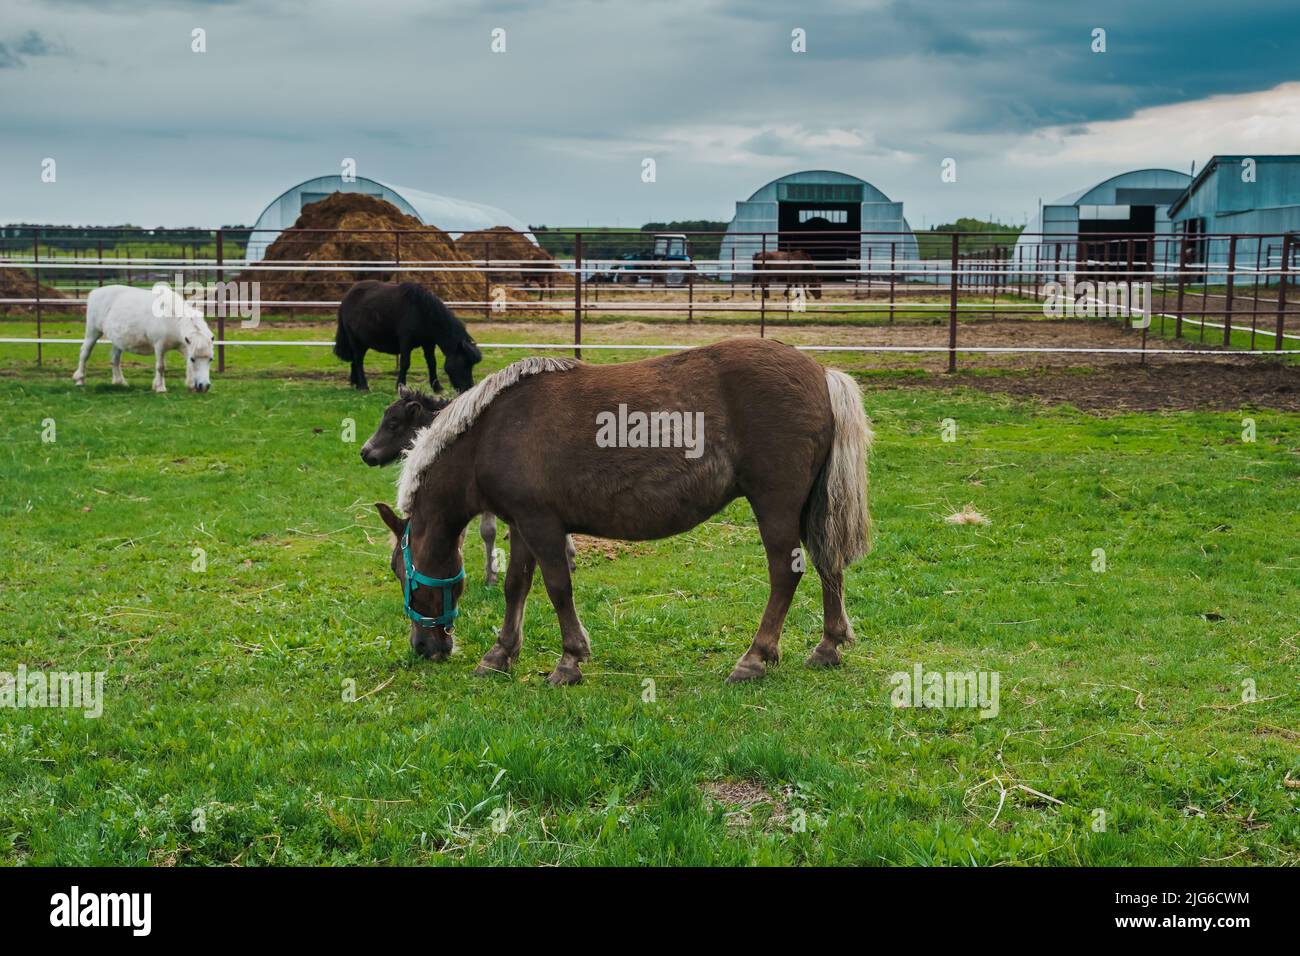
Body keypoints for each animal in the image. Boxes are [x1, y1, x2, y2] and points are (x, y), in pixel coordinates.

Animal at [73, 284, 215, 393]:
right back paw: (80, 380)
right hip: (93, 331)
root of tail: (95, 292)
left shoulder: (185, 346)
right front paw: (160, 388)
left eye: (210, 359)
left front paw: (190, 385)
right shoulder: (160, 346)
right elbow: (161, 366)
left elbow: (188, 367)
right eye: (193, 359)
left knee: (115, 359)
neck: (172, 319)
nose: (204, 386)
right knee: (85, 353)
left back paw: (120, 382)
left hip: (118, 340)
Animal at [334, 280, 483, 392]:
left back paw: (356, 383)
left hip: (363, 341)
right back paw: (363, 386)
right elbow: (405, 363)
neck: (422, 311)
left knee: (355, 360)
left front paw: (437, 387)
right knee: (358, 360)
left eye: (471, 365)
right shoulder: (406, 342)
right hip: (355, 340)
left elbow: (432, 363)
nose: (468, 388)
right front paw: (400, 386)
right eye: (464, 363)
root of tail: (346, 298)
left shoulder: (429, 343)